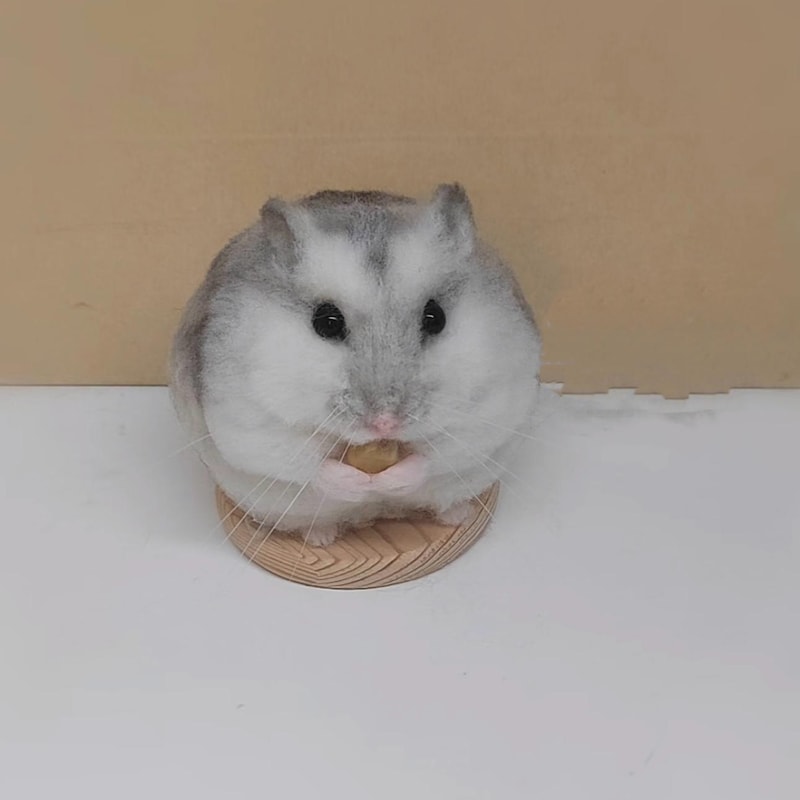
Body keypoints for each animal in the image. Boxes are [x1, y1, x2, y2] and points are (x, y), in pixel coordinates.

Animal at [170, 184, 541, 546]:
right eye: (327, 322)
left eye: (436, 317)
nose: (385, 423)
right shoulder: (252, 422)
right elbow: (309, 464)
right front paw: (363, 485)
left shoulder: (491, 405)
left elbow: (436, 455)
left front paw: (388, 483)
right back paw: (320, 537)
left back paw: (457, 516)